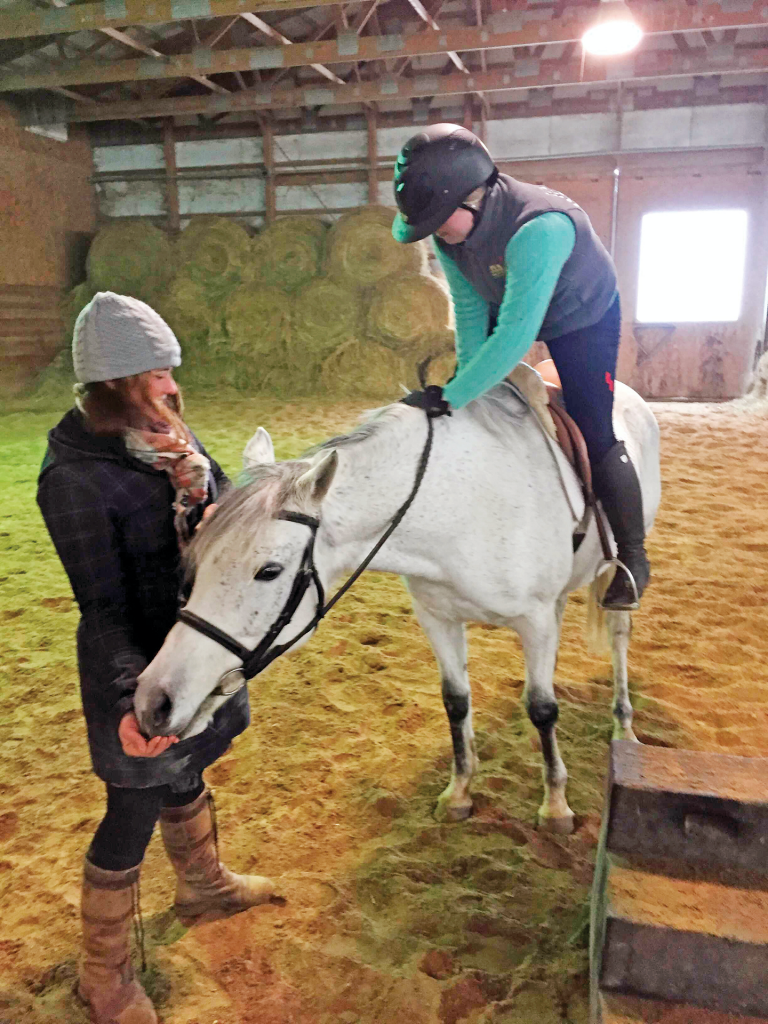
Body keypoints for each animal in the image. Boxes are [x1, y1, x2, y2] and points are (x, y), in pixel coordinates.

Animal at [134, 378, 660, 834]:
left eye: (269, 571)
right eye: (197, 560)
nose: (153, 700)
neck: (459, 504)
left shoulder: (533, 620)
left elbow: (543, 709)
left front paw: (555, 805)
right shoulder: (439, 617)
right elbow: (456, 701)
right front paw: (459, 792)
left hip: (615, 588)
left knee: (619, 640)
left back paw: (623, 727)